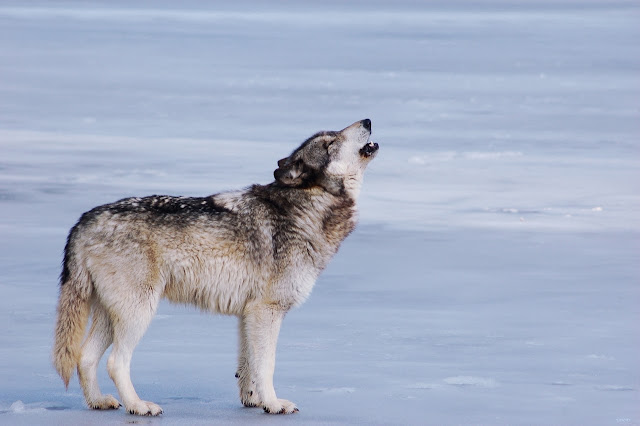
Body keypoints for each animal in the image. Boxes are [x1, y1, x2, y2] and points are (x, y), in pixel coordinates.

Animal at [52, 119, 379, 416]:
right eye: (330, 143)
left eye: (333, 134)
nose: (367, 120)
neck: (306, 209)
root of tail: (84, 220)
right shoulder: (266, 311)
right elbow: (267, 365)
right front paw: (273, 404)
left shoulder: (248, 315)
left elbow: (248, 367)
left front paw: (254, 401)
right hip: (138, 312)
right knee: (115, 362)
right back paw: (138, 406)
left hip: (113, 315)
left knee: (85, 357)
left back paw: (98, 402)